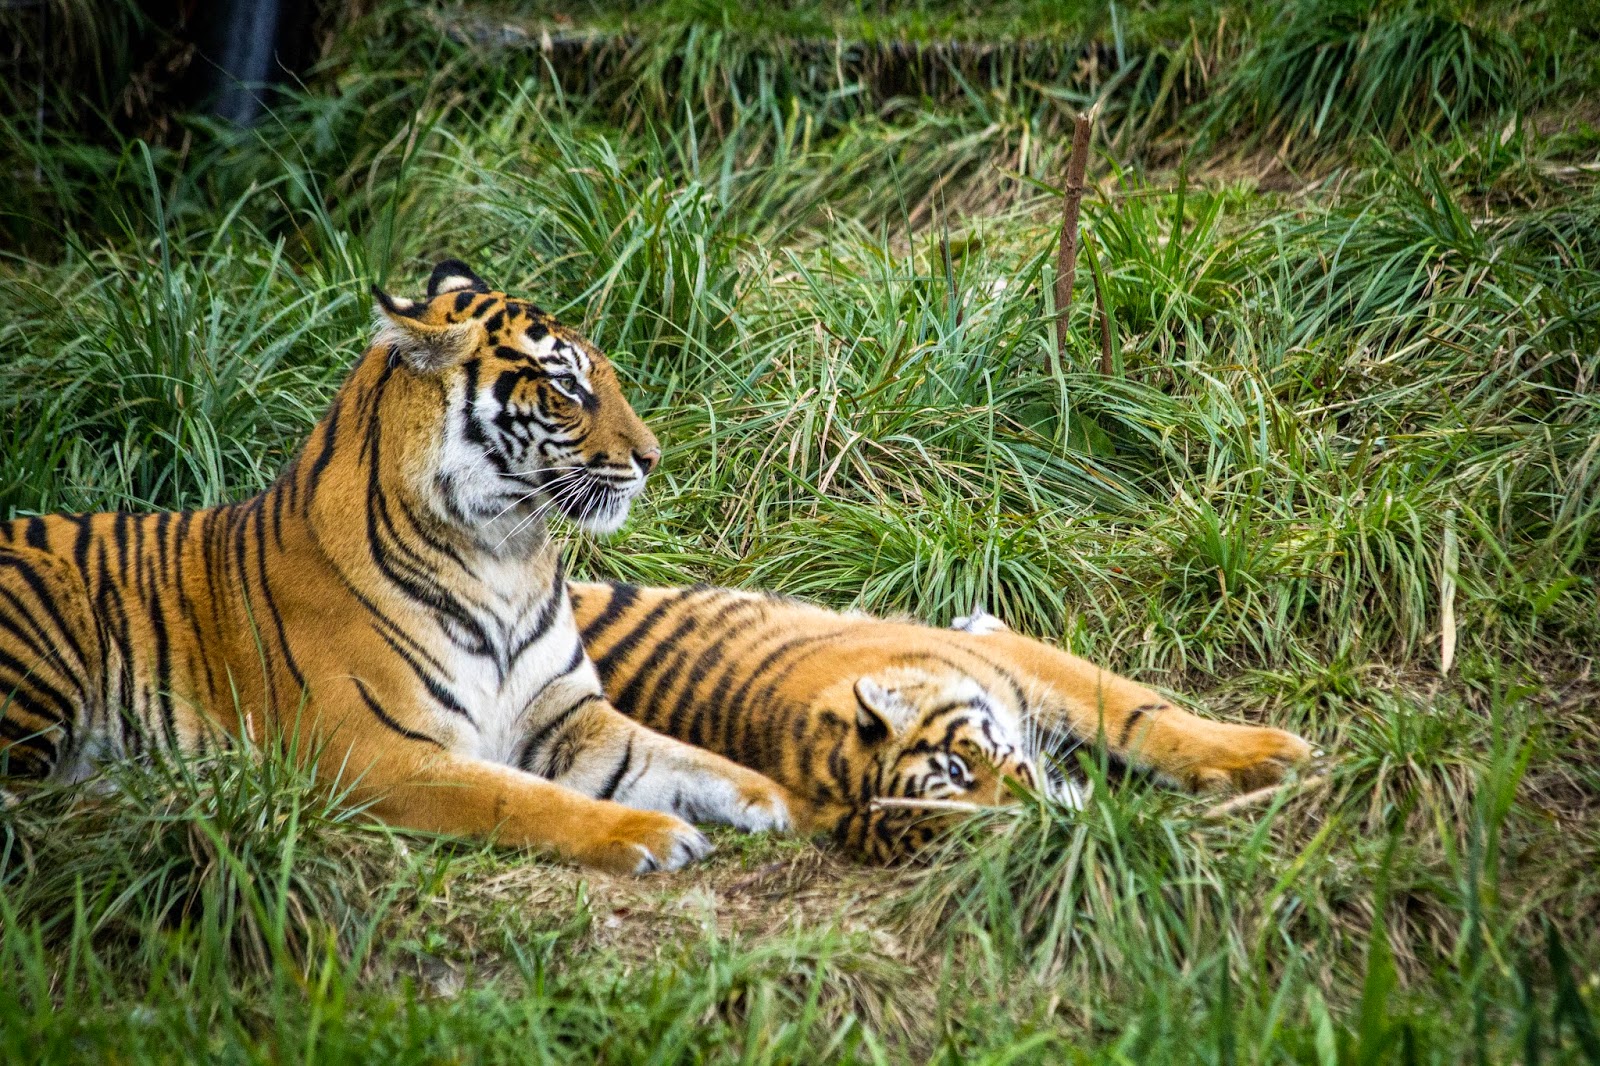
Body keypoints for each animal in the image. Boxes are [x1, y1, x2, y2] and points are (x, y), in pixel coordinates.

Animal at [0, 260, 793, 875]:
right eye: (567, 387)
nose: (653, 458)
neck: (505, 551)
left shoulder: (566, 716)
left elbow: (678, 755)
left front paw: (770, 795)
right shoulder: (383, 754)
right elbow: (525, 799)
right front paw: (648, 832)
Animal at [570, 582, 1314, 860]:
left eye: (958, 768)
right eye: (954, 831)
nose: (1042, 823)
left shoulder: (1022, 664)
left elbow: (1139, 712)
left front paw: (1270, 756)